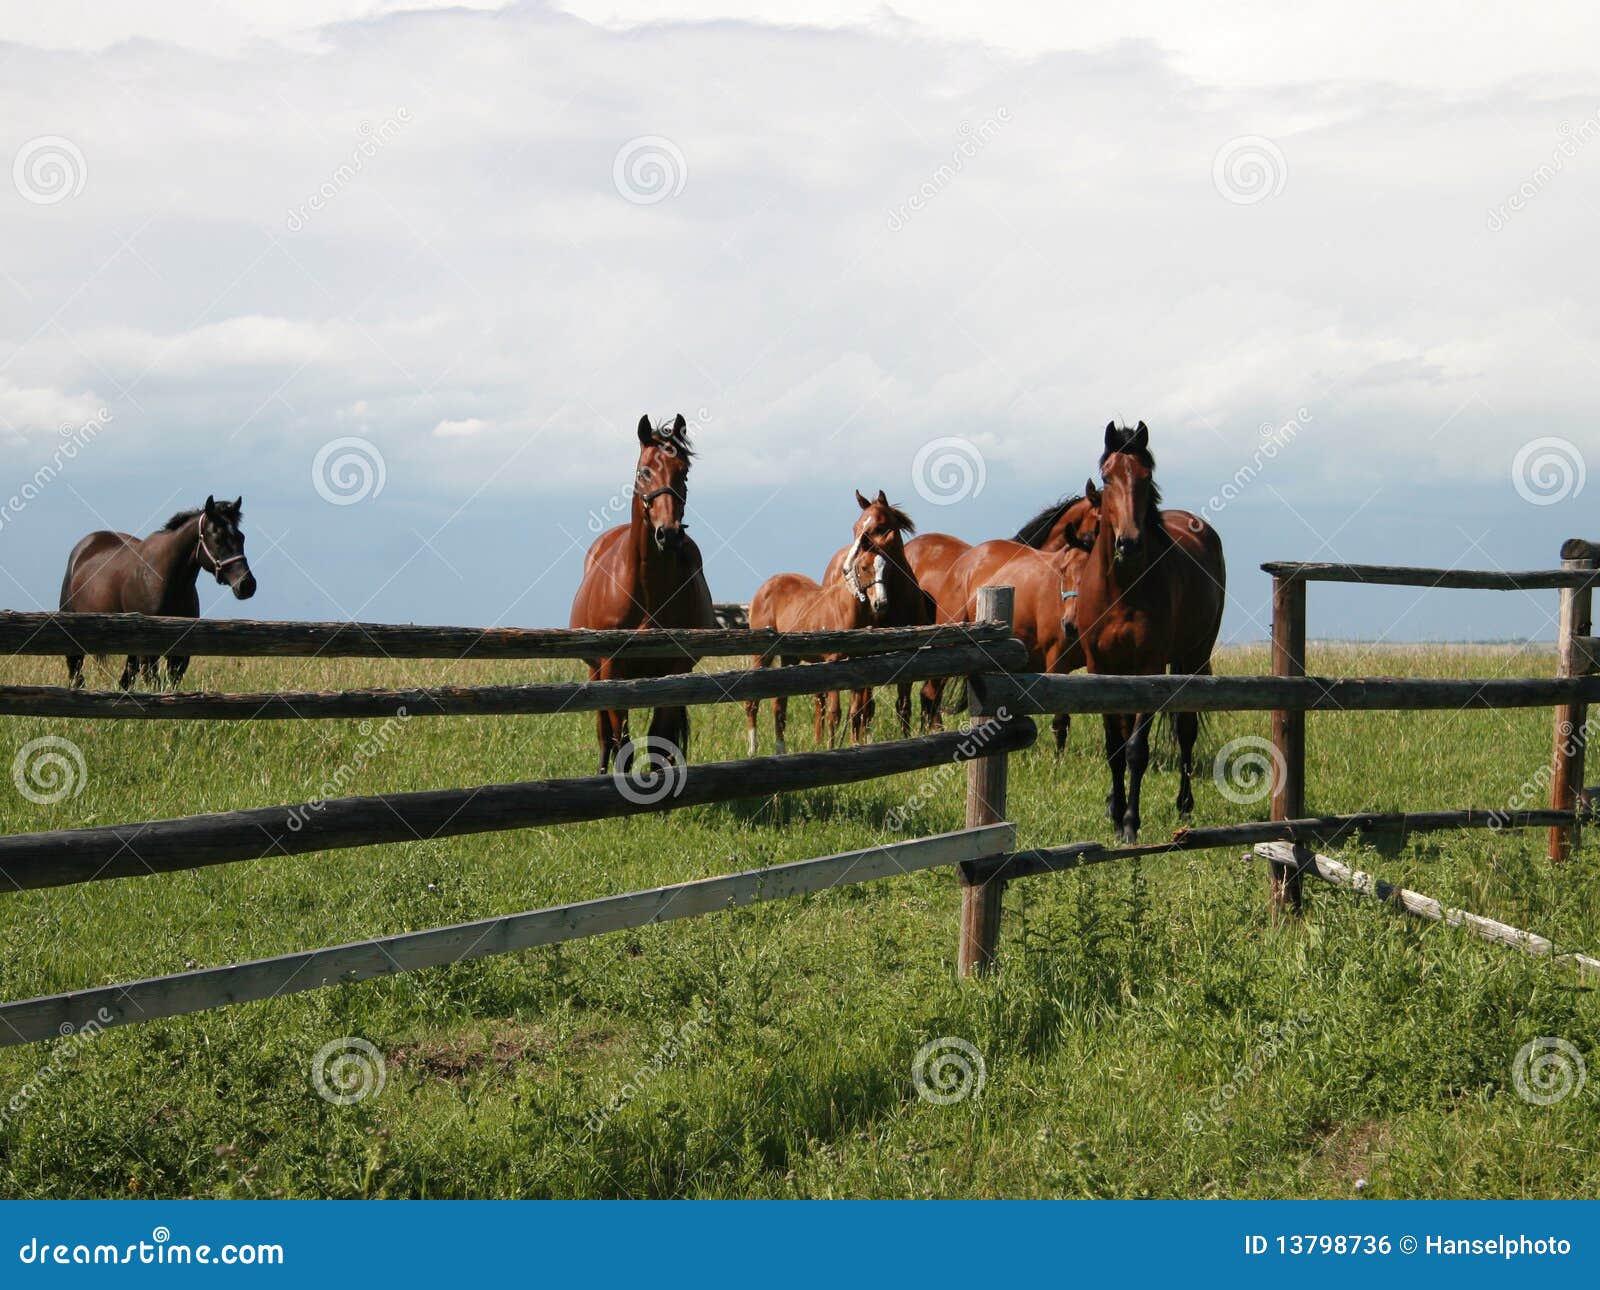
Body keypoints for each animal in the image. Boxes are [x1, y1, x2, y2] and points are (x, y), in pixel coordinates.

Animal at [58, 496, 256, 690]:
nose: (247, 584)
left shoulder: (180, 653)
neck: (164, 580)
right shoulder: (149, 652)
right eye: (218, 538)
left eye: (241, 537)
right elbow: (155, 686)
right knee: (76, 675)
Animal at [569, 414, 717, 774]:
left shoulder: (676, 668)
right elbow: (620, 740)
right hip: (595, 672)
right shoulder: (612, 669)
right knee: (604, 734)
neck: (648, 590)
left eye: (684, 472)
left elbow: (660, 739)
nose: (669, 533)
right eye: (644, 471)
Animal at [746, 490, 925, 751]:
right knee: (756, 702)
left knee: (779, 704)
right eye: (856, 527)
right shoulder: (834, 661)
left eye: (881, 527)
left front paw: (857, 743)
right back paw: (754, 748)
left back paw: (781, 749)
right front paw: (833, 747)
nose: (880, 603)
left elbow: (863, 710)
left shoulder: (867, 661)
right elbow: (836, 712)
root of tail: (768, 585)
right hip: (762, 654)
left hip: (789, 656)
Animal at [1075, 422, 1226, 842]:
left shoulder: (1150, 668)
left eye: (1146, 477)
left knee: (1186, 730)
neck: (1122, 588)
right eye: (1107, 477)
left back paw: (1185, 804)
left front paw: (1130, 823)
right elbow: (1114, 745)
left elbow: (1135, 749)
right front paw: (1115, 815)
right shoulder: (1101, 668)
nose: (1129, 543)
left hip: (1194, 657)